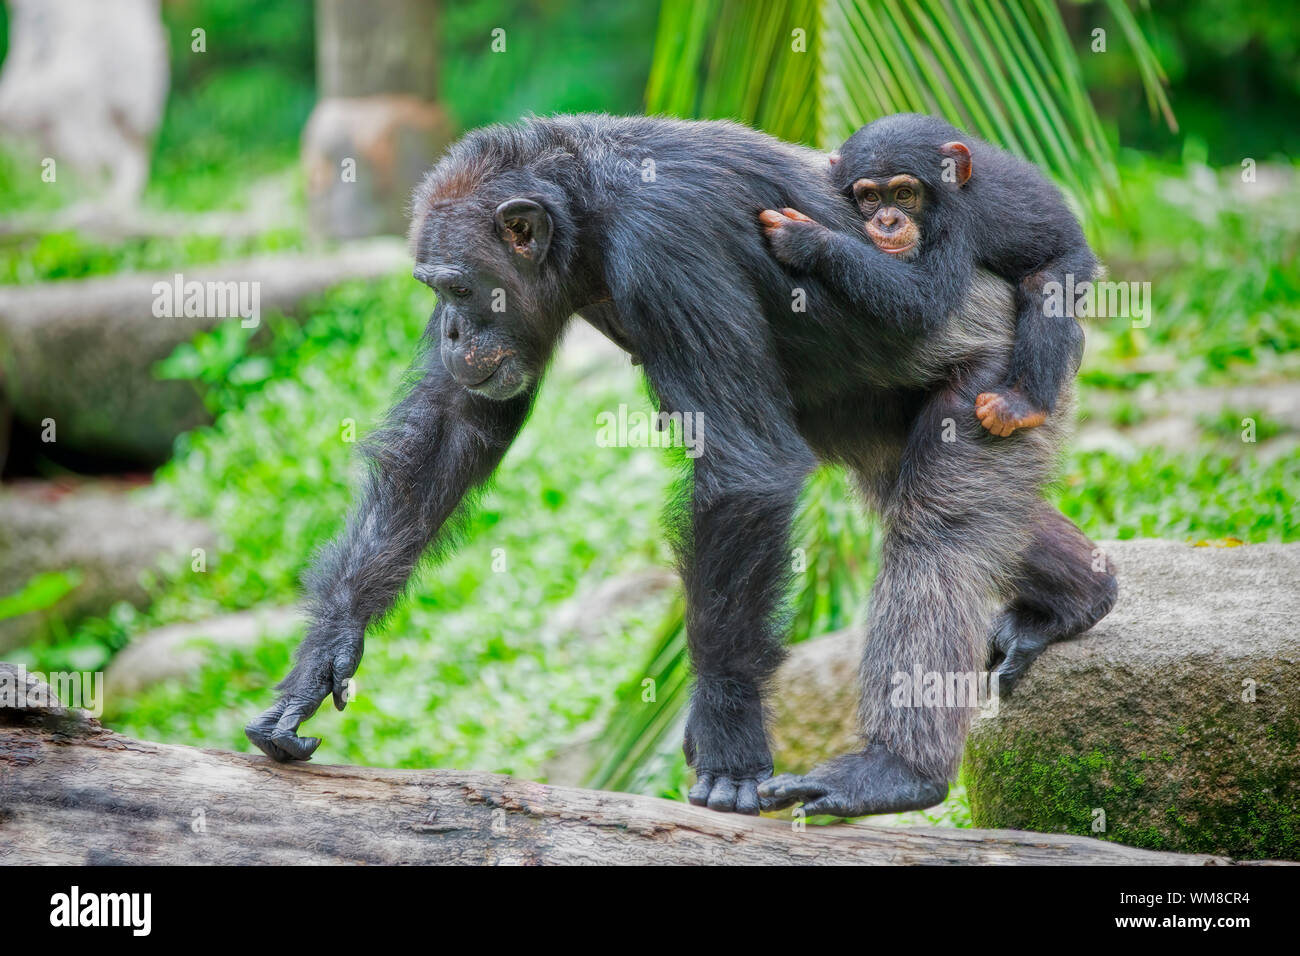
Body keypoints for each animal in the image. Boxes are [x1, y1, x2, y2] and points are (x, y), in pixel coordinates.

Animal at [761, 112, 1098, 437]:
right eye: (870, 197)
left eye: (904, 193)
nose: (888, 221)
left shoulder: (957, 221)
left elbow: (926, 299)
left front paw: (809, 239)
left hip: (1075, 258)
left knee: (1044, 287)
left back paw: (1021, 404)